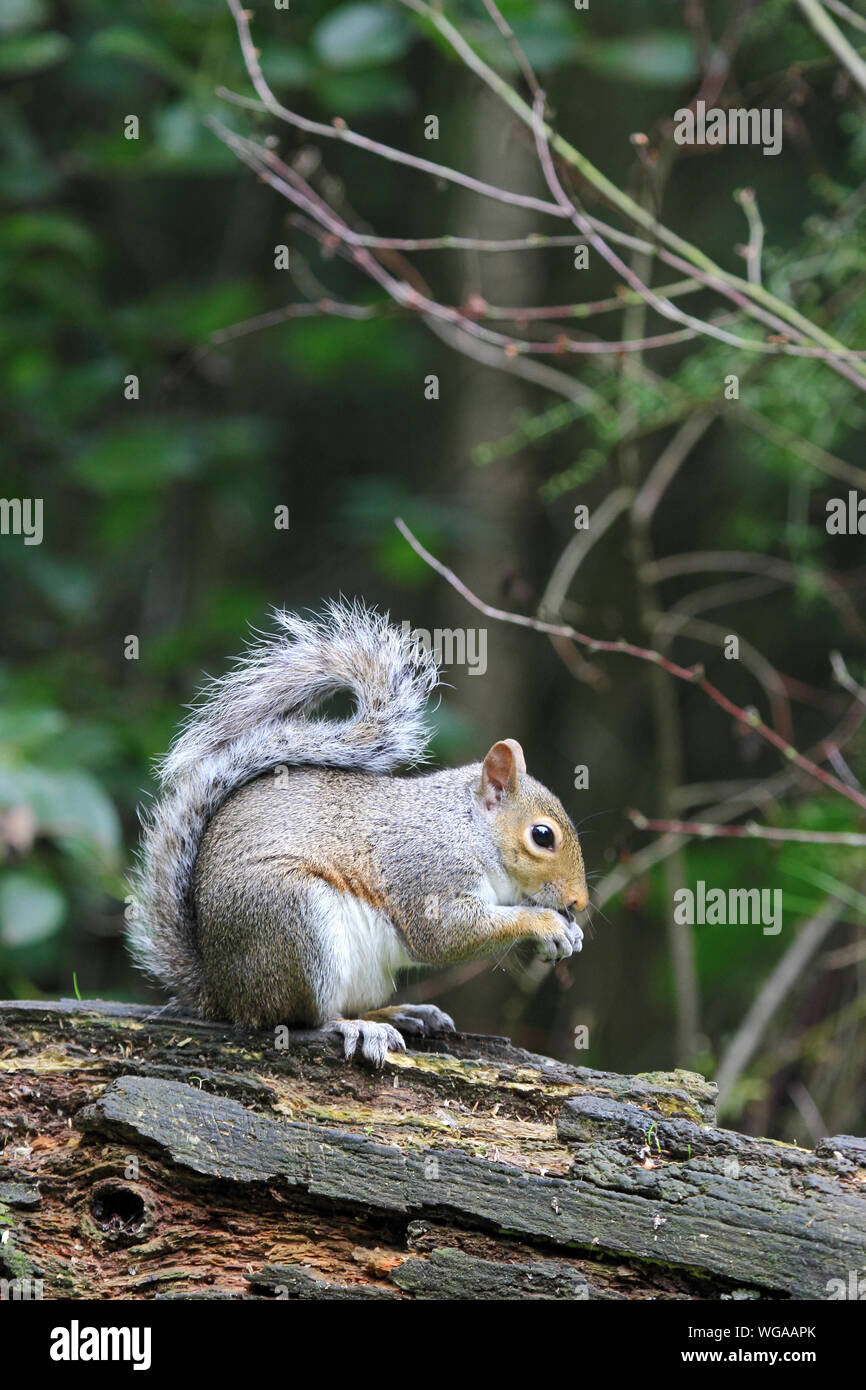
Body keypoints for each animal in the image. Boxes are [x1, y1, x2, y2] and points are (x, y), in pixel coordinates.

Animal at [129, 601, 588, 1065]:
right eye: (542, 836)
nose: (579, 903)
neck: (467, 828)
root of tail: (221, 991)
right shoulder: (428, 873)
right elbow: (444, 936)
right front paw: (545, 923)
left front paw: (568, 933)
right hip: (293, 920)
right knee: (303, 1017)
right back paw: (356, 1026)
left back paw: (400, 1012)